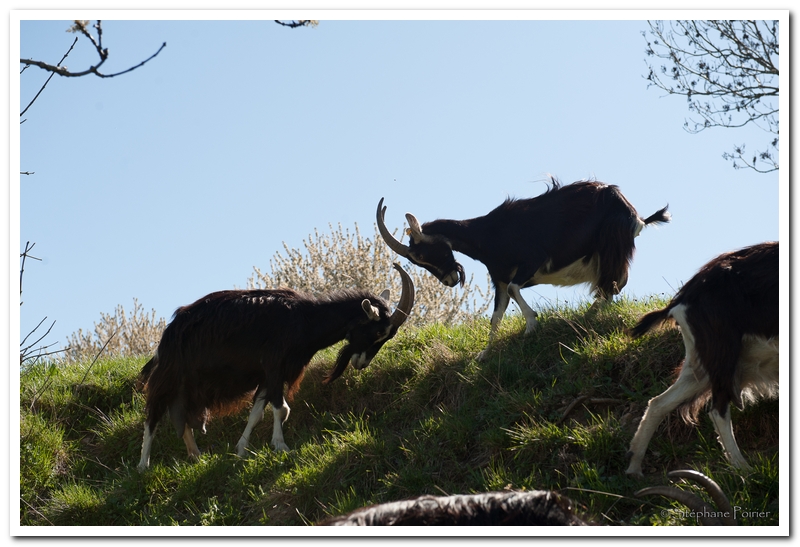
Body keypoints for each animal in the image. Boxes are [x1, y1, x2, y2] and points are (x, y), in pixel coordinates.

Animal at [136, 263, 414, 472]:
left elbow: (257, 413)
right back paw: (143, 465)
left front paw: (241, 450)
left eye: (388, 336)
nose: (361, 363)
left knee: (179, 413)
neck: (306, 319)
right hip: (171, 374)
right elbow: (282, 409)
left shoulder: (267, 375)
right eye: (377, 332)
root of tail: (171, 330)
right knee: (153, 414)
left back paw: (195, 455)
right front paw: (281, 447)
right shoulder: (274, 366)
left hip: (188, 382)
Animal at [377, 178, 669, 359]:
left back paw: (590, 315)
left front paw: (531, 325)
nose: (449, 280)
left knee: (613, 285)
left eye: (422, 254)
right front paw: (484, 354)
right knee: (613, 286)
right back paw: (589, 315)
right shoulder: (499, 280)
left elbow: (515, 289)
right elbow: (497, 315)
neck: (489, 235)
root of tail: (636, 215)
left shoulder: (532, 260)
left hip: (610, 247)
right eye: (417, 261)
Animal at [625, 242, 778, 477]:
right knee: (718, 410)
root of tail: (681, 299)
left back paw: (634, 467)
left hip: (703, 363)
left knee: (658, 403)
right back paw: (744, 470)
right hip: (722, 354)